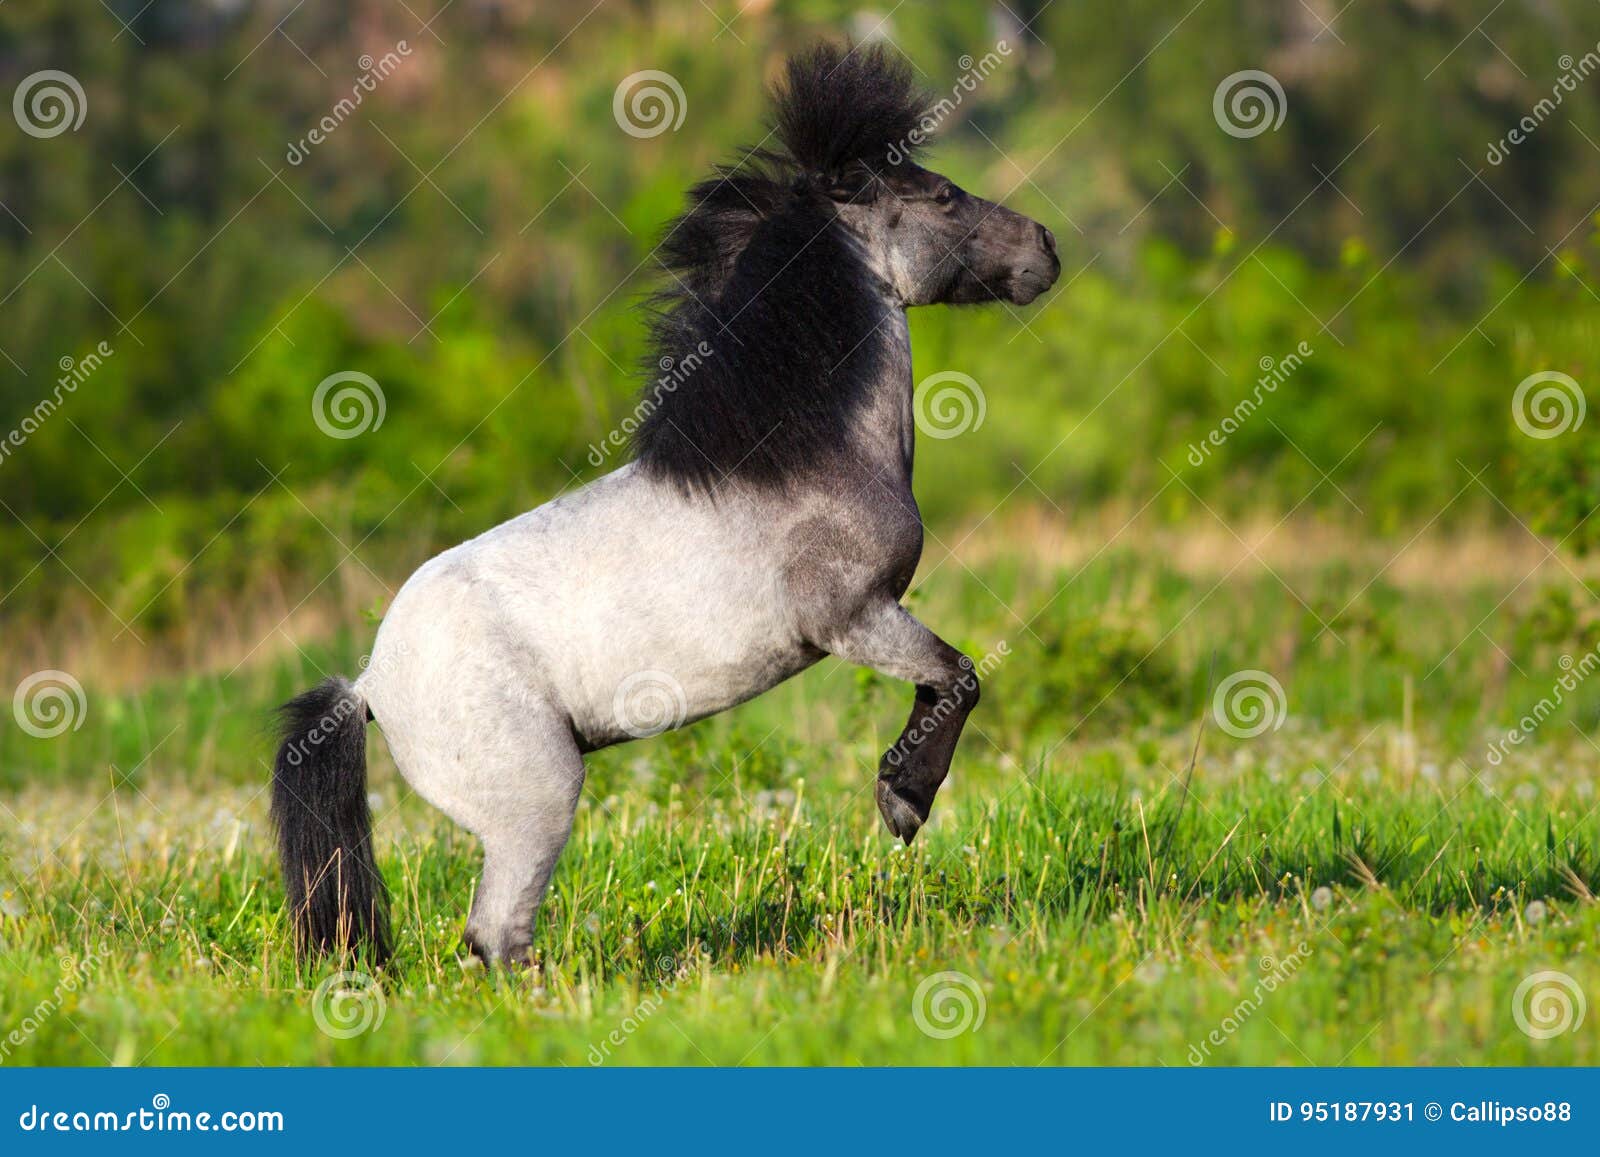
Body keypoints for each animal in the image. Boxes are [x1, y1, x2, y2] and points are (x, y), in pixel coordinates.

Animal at [270, 43, 1060, 966]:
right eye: (940, 195)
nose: (1045, 246)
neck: (803, 461)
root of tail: (369, 683)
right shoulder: (854, 617)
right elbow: (960, 676)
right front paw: (903, 800)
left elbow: (948, 679)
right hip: (538, 800)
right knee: (496, 933)